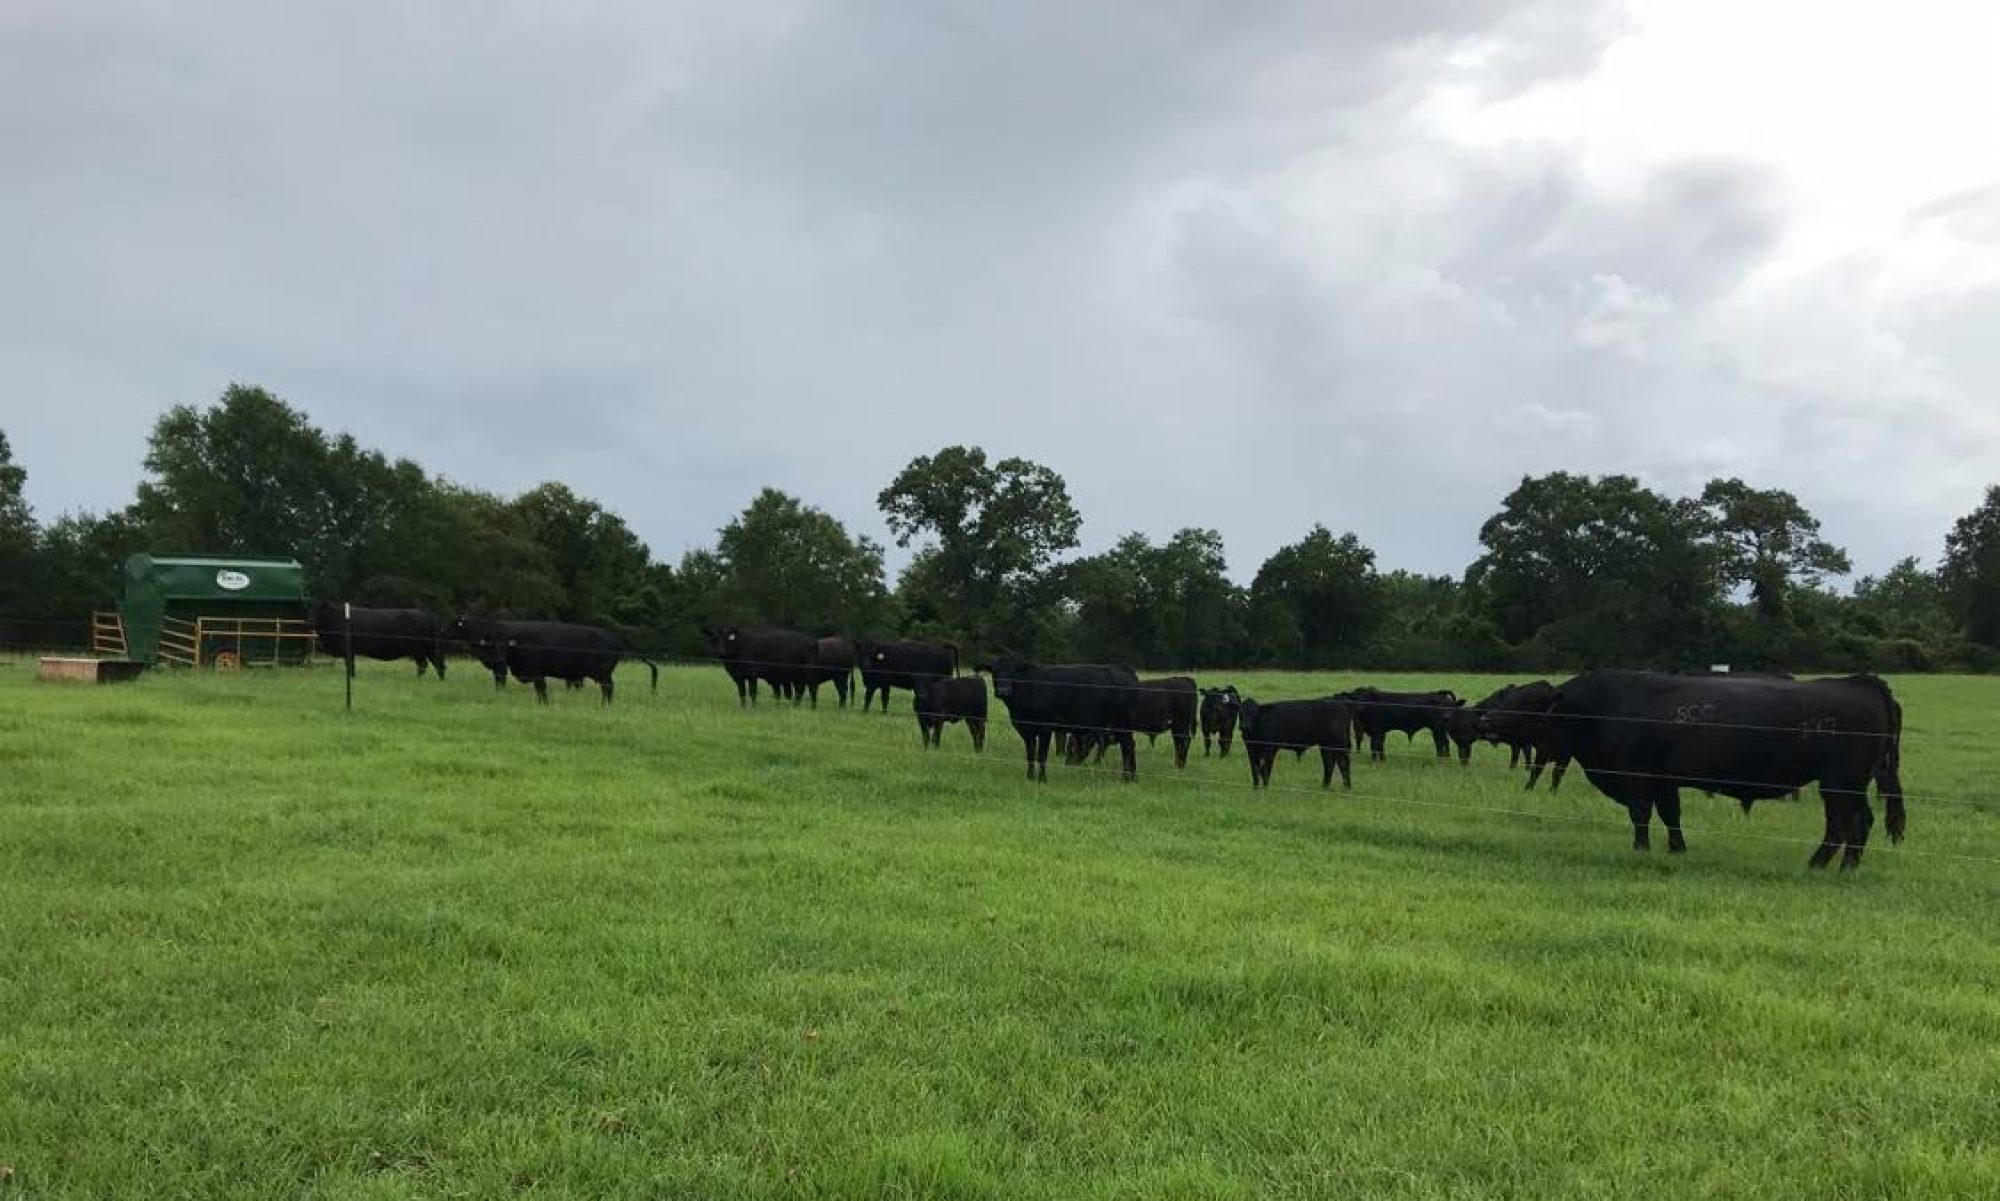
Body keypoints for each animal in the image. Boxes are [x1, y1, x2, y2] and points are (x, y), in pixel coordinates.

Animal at [314, 603, 448, 679]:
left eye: (316, 611)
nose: (311, 619)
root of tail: (427, 615)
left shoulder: (349, 650)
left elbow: (350, 665)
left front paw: (351, 678)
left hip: (418, 650)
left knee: (424, 664)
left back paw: (418, 680)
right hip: (430, 648)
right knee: (438, 663)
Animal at [444, 616, 658, 704]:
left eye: (454, 623)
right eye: (495, 647)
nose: (442, 631)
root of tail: (616, 640)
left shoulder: (533, 672)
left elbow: (540, 690)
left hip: (603, 674)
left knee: (608, 688)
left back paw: (605, 704)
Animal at [977, 655, 1139, 783]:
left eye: (1014, 671)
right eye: (995, 671)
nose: (1003, 691)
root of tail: (1124, 669)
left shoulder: (1045, 727)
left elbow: (1041, 755)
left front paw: (1042, 779)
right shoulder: (1026, 729)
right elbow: (1030, 754)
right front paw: (1030, 777)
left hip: (1122, 723)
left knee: (1127, 747)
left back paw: (1127, 778)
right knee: (1130, 746)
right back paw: (1132, 778)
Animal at [1516, 669, 1905, 868]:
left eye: (1524, 702)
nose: (1496, 719)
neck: (1606, 704)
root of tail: (1861, 681)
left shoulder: (1637, 774)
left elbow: (1641, 814)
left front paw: (1640, 849)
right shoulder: (1664, 779)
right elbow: (1670, 814)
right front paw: (1677, 849)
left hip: (1842, 782)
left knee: (1853, 822)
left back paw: (1839, 865)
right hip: (1840, 784)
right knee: (1847, 822)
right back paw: (1825, 864)